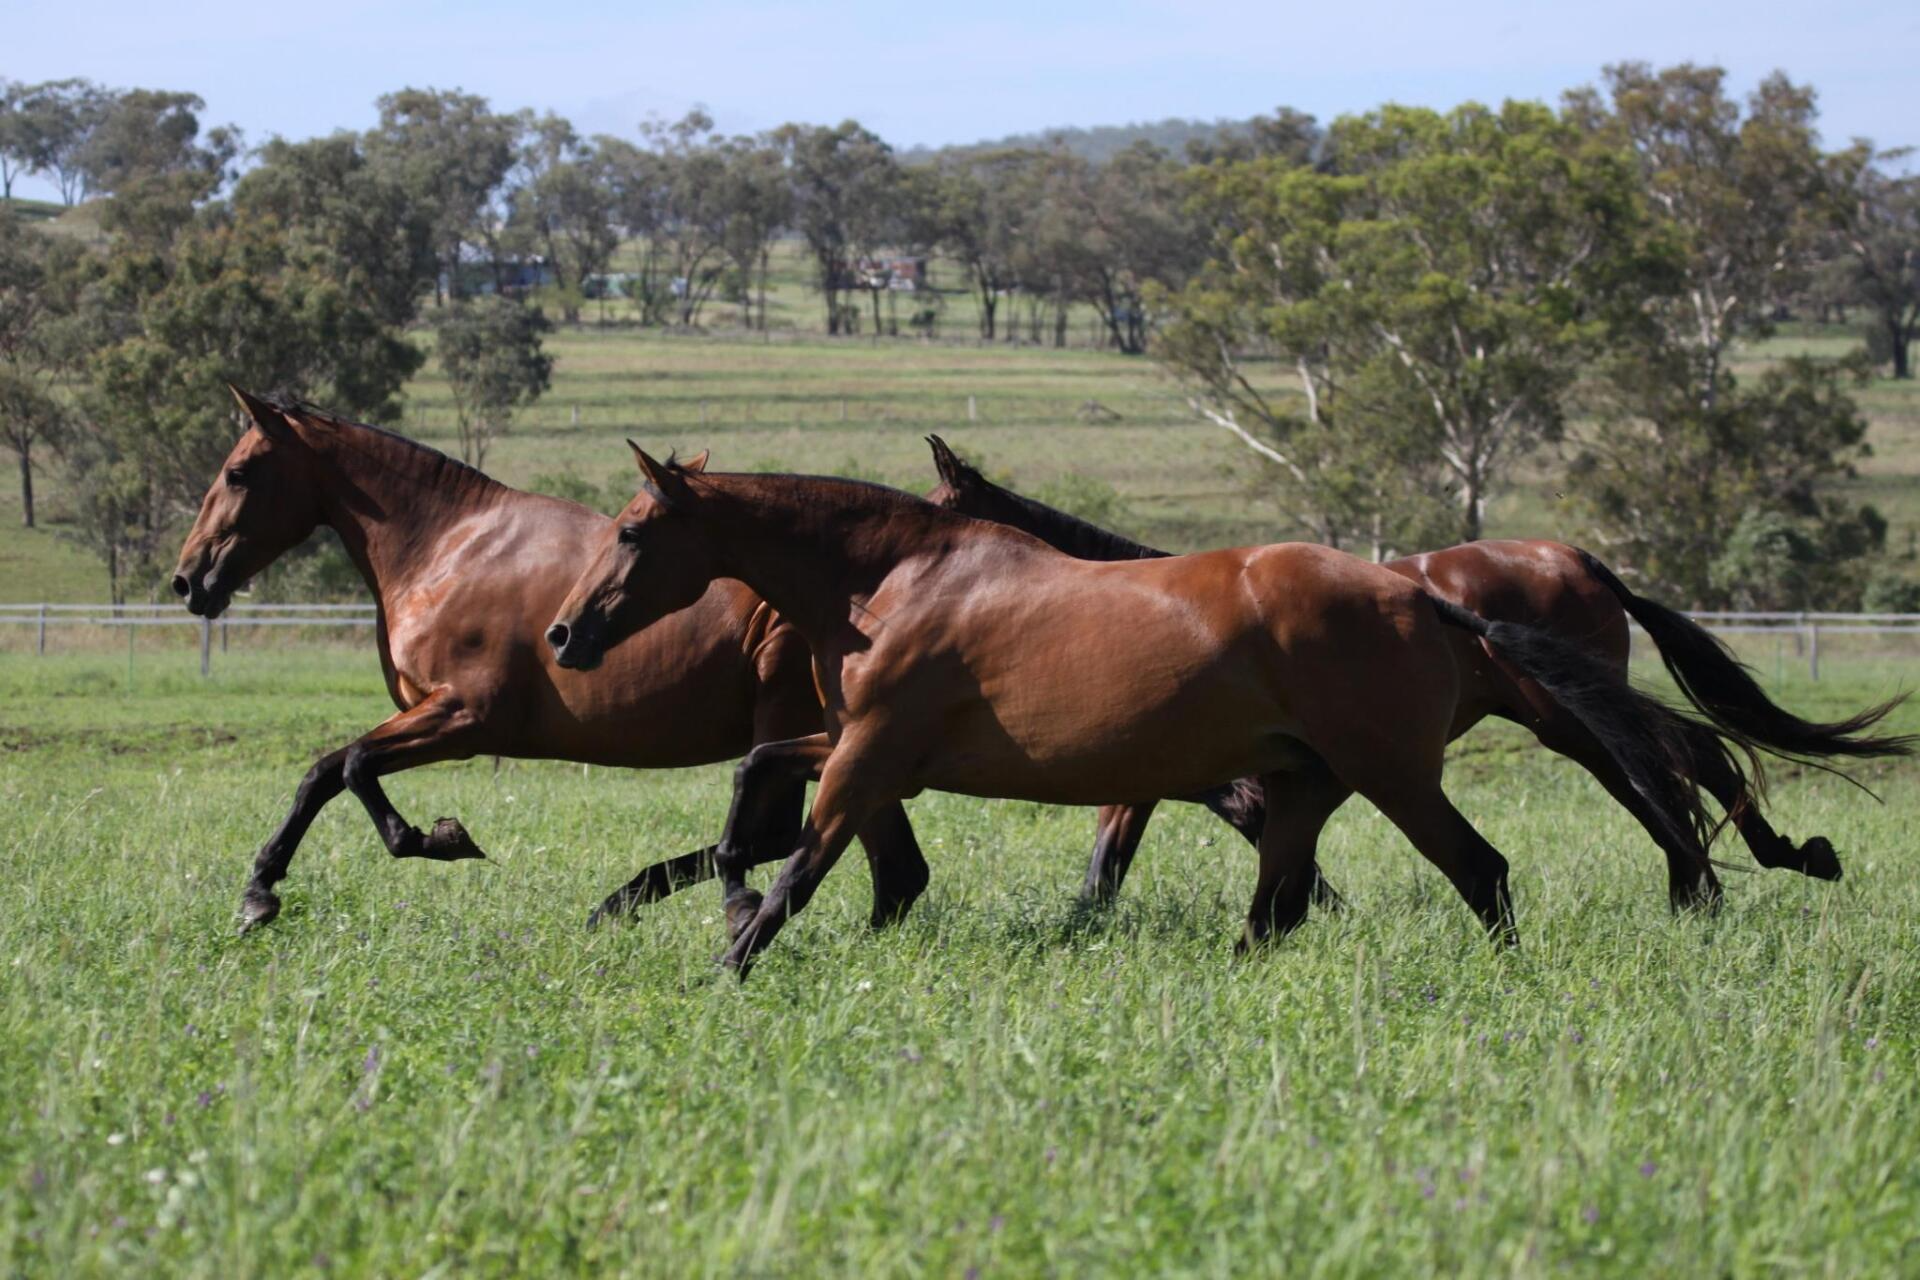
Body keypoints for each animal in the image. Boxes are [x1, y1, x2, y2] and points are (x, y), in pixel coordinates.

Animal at [171, 389, 930, 934]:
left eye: (237, 472)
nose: (187, 580)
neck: (448, 548)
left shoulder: (465, 718)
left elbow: (352, 767)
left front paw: (437, 838)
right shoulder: (435, 717)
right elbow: (322, 774)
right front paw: (260, 892)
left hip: (799, 722)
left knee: (784, 839)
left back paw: (630, 905)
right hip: (849, 740)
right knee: (895, 870)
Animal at [548, 450, 1788, 976]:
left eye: (630, 531)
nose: (564, 635)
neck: (900, 578)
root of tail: (1427, 597)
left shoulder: (872, 757)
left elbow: (802, 867)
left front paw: (727, 964)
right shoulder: (872, 750)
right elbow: (759, 773)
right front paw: (710, 889)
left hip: (1404, 772)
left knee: (1507, 855)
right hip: (1313, 782)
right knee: (1277, 907)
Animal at [921, 436, 1909, 909]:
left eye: (934, 503)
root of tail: (1576, 556)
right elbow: (1112, 871)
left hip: (1562, 716)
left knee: (1680, 758)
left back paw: (1732, 877)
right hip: (1567, 716)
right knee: (1677, 761)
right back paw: (1718, 884)